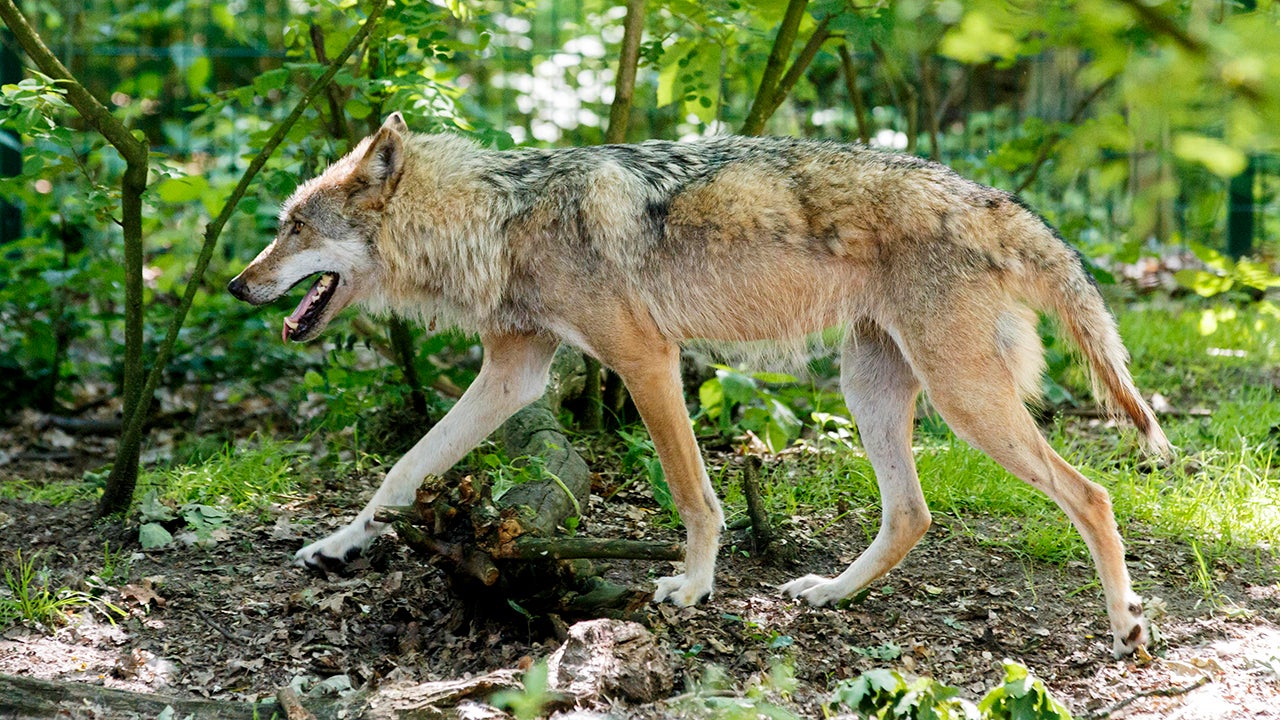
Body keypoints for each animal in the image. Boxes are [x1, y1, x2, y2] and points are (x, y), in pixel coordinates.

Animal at [228, 113, 1169, 657]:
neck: (499, 221)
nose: (237, 285)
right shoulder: (514, 375)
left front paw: (692, 586)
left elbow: (694, 494)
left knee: (1091, 494)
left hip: (964, 404)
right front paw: (340, 544)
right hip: (872, 391)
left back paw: (1125, 622)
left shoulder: (645, 361)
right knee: (912, 515)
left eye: (293, 228)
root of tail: (994, 201)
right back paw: (828, 594)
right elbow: (402, 471)